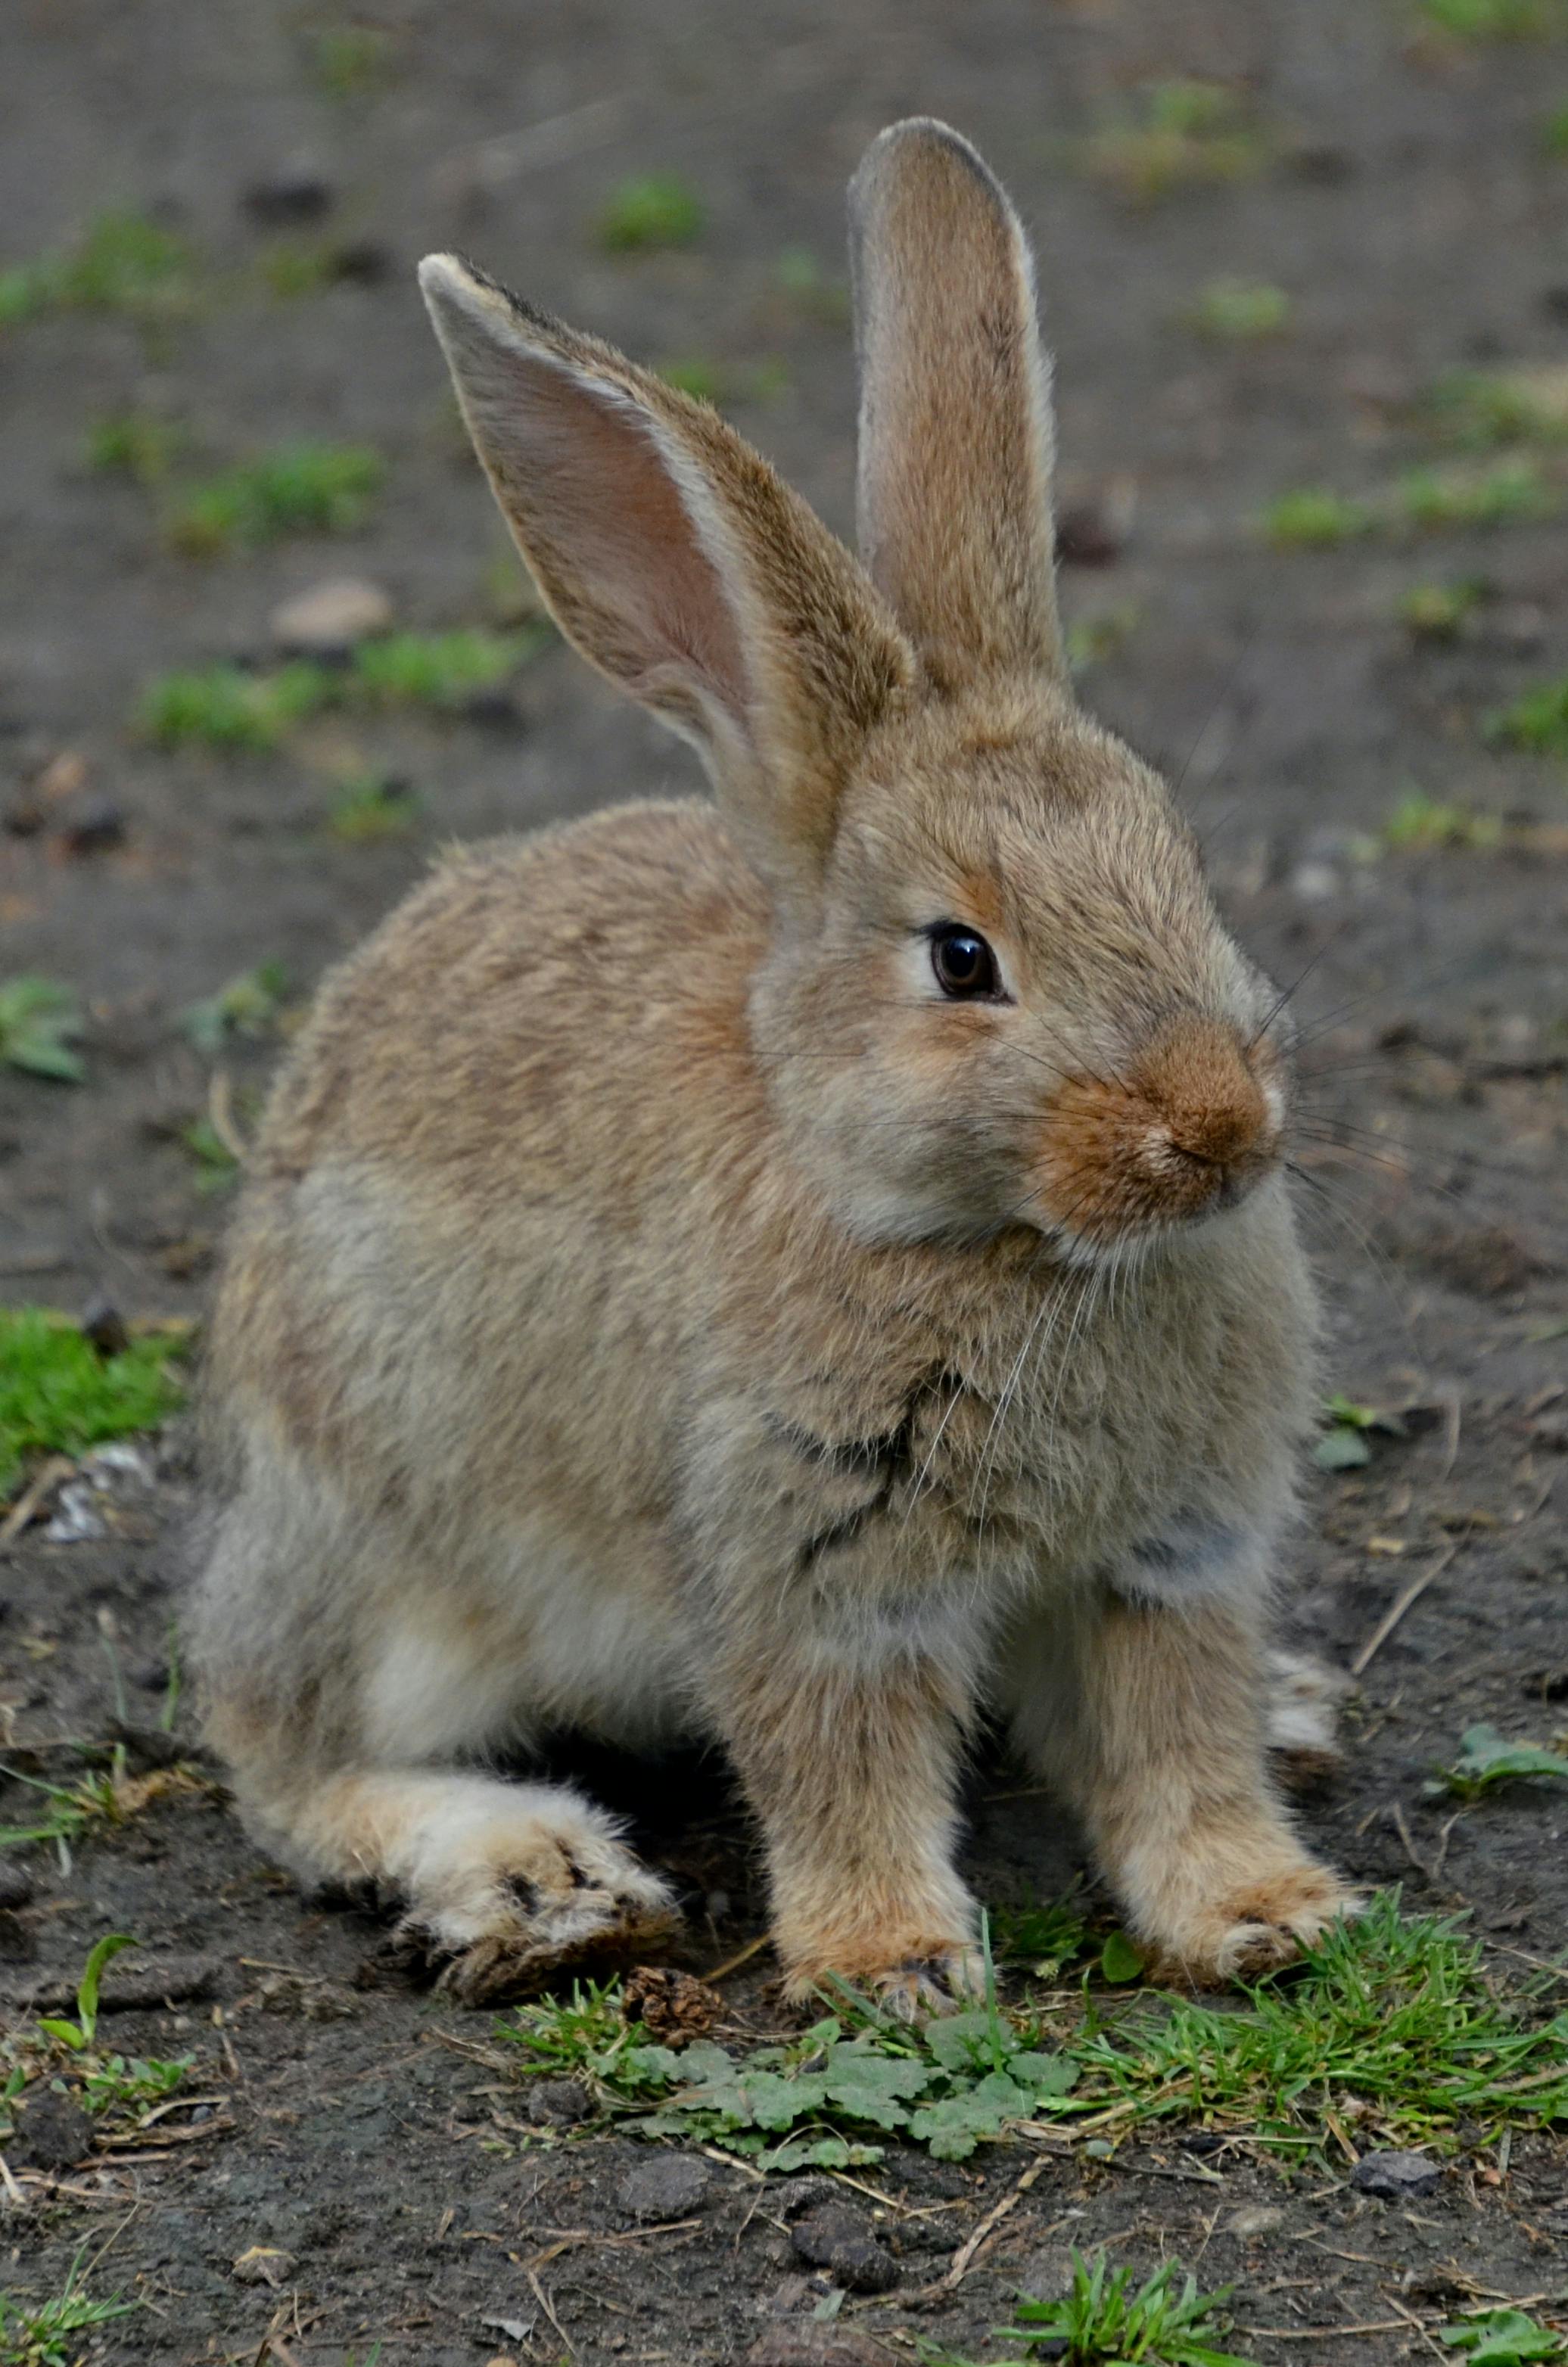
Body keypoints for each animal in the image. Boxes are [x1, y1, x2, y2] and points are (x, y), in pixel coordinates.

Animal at [189, 117, 1359, 2013]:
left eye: (1181, 867)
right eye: (962, 960)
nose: (1219, 1129)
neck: (987, 1242)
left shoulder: (1167, 1561)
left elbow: (1179, 1747)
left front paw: (1261, 1910)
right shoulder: (806, 1568)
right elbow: (843, 1764)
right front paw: (893, 1962)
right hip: (377, 1547)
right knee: (286, 1756)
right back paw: (535, 1876)